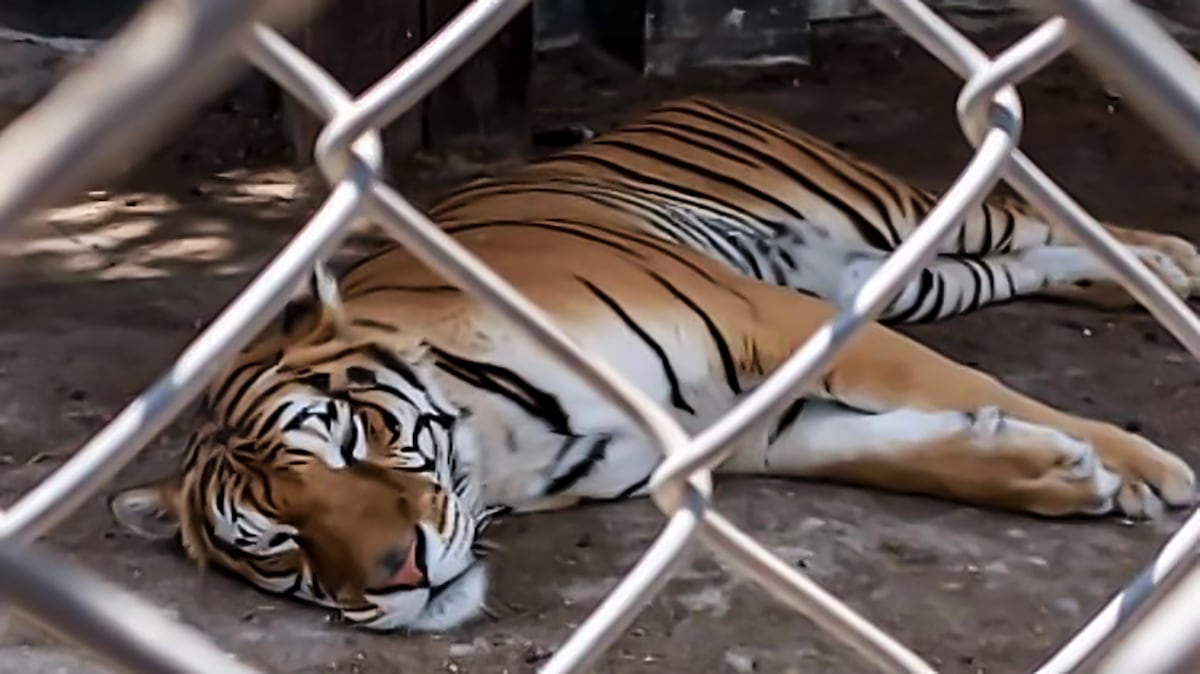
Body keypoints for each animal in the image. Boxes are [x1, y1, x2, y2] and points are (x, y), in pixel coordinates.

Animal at [109, 96, 1199, 633]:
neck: (502, 449)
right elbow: (908, 452)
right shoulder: (754, 427)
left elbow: (967, 389)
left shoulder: (776, 322)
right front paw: (1060, 475)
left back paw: (1174, 258)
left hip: (892, 213)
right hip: (912, 272)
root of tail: (678, 97)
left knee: (1032, 210)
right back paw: (1158, 272)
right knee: (1033, 259)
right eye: (277, 543)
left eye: (345, 444)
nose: (400, 574)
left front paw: (1143, 467)